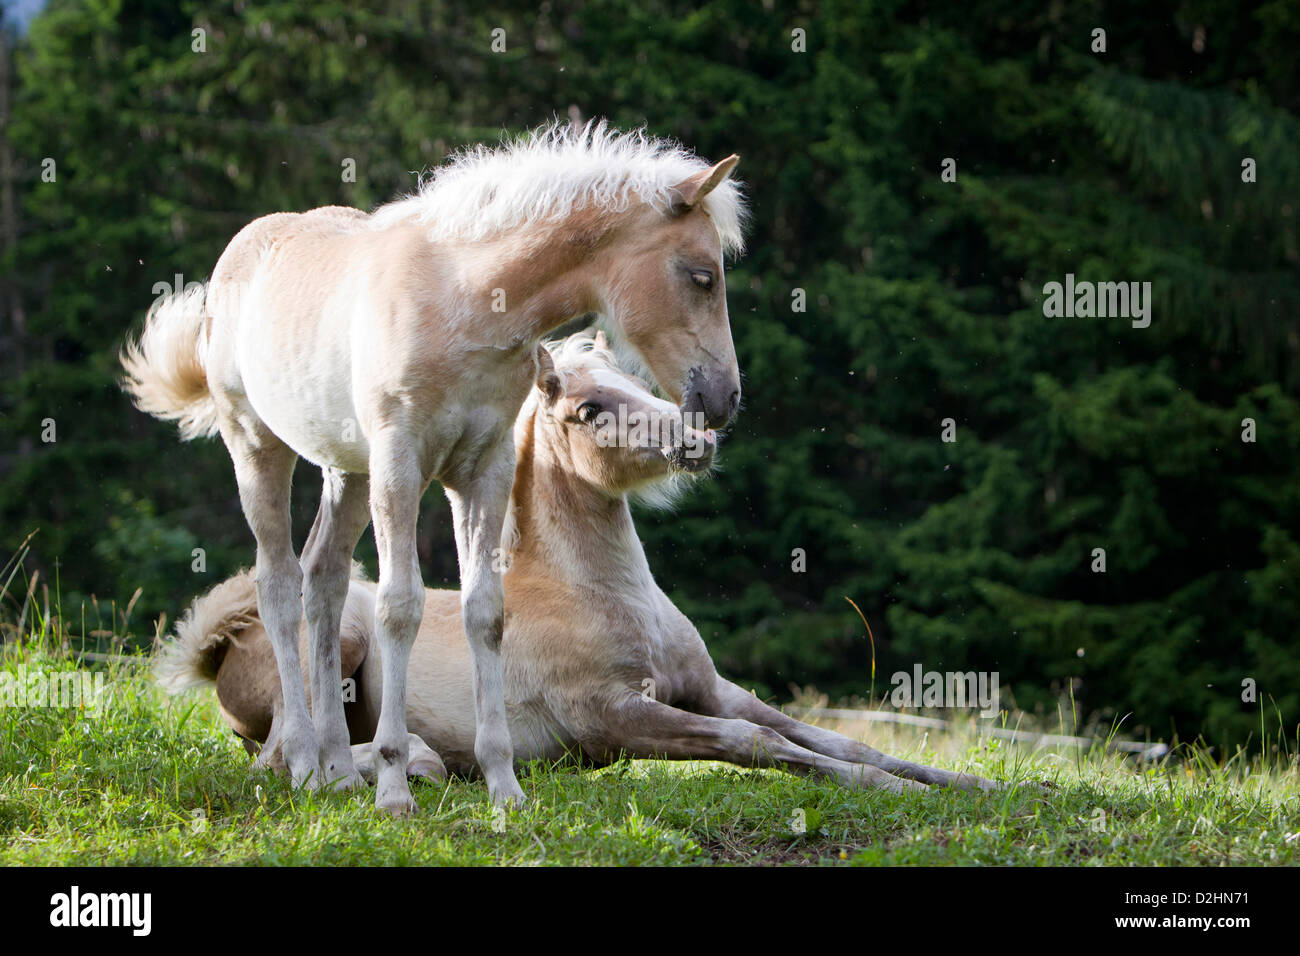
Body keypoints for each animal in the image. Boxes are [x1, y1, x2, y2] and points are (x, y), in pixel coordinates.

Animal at [121, 121, 746, 814]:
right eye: (701, 275)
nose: (722, 398)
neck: (465, 301)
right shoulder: (401, 463)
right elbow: (401, 606)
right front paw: (395, 790)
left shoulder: (482, 470)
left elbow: (484, 611)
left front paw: (503, 787)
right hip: (259, 448)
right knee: (279, 586)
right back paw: (309, 765)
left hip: (349, 472)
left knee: (323, 582)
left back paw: (339, 769)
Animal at [156, 333, 1001, 796]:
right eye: (589, 408)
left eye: (633, 379)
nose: (700, 437)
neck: (602, 596)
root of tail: (221, 649)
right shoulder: (616, 716)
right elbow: (757, 746)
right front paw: (885, 790)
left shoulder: (711, 689)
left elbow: (832, 739)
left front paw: (975, 783)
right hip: (343, 642)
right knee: (278, 759)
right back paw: (416, 763)